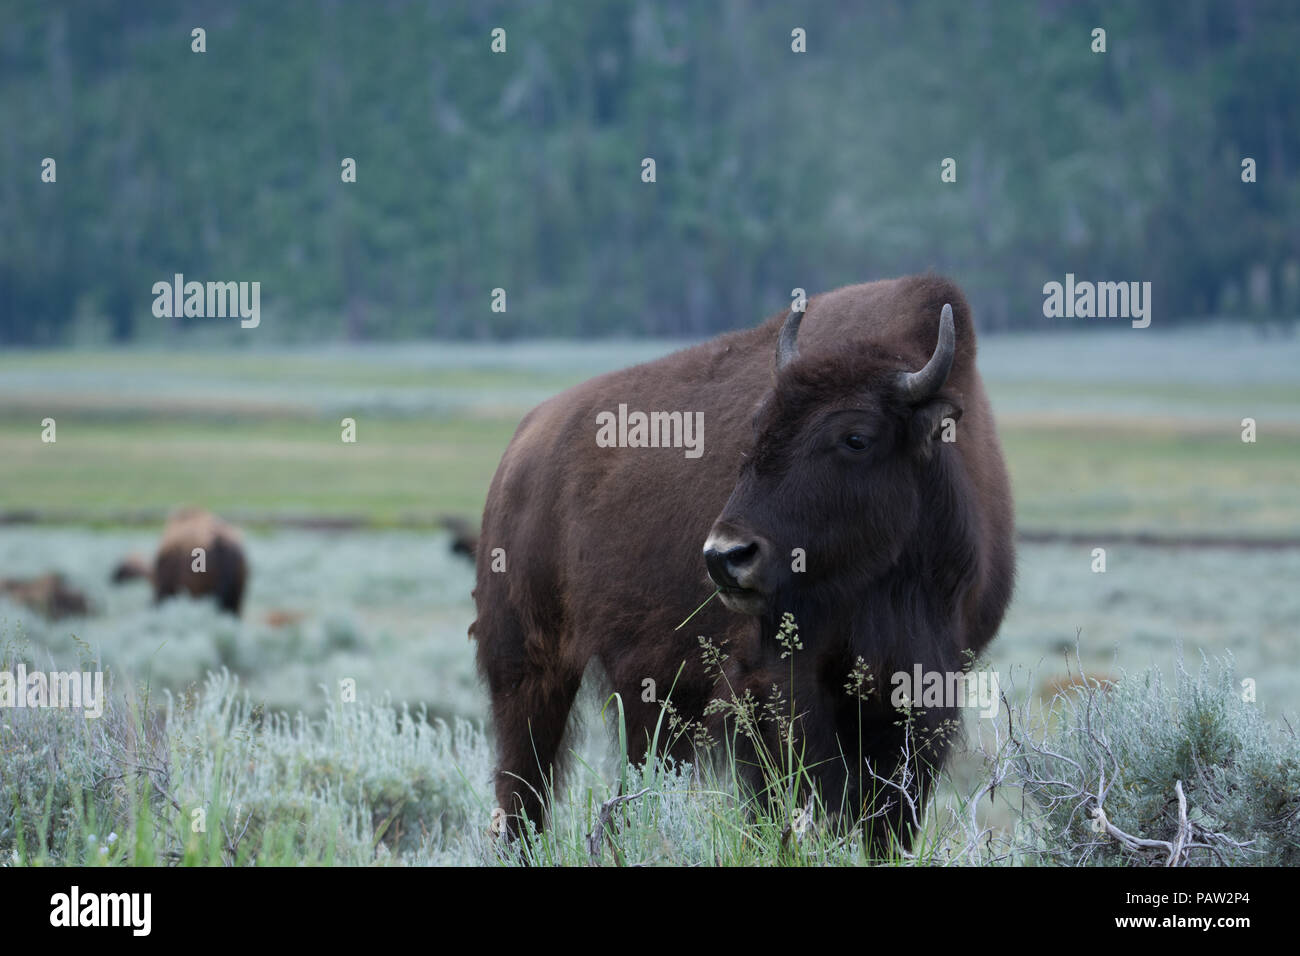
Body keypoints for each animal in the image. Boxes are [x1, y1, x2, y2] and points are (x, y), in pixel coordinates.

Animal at [471, 275, 1015, 851]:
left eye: (856, 437)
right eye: (758, 426)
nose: (725, 556)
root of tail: (522, 446)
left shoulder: (923, 692)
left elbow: (888, 818)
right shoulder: (775, 686)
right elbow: (784, 800)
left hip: (654, 695)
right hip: (527, 670)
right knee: (523, 783)